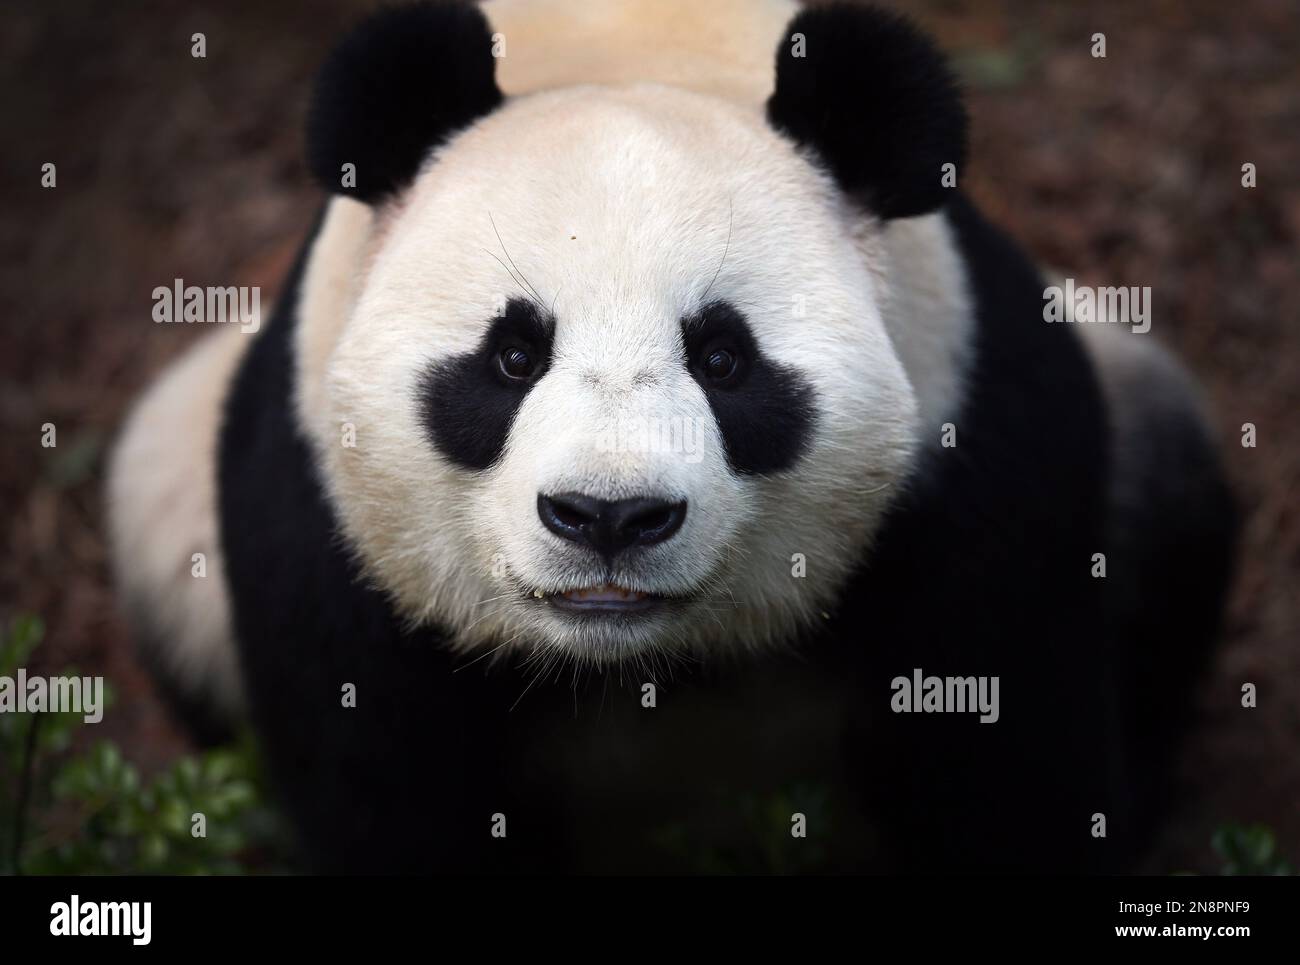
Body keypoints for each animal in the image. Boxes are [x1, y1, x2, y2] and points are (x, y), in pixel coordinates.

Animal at [107, 0, 1236, 873]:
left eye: (724, 358)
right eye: (511, 356)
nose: (609, 516)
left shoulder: (974, 456)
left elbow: (1008, 769)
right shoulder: (321, 526)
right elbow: (391, 796)